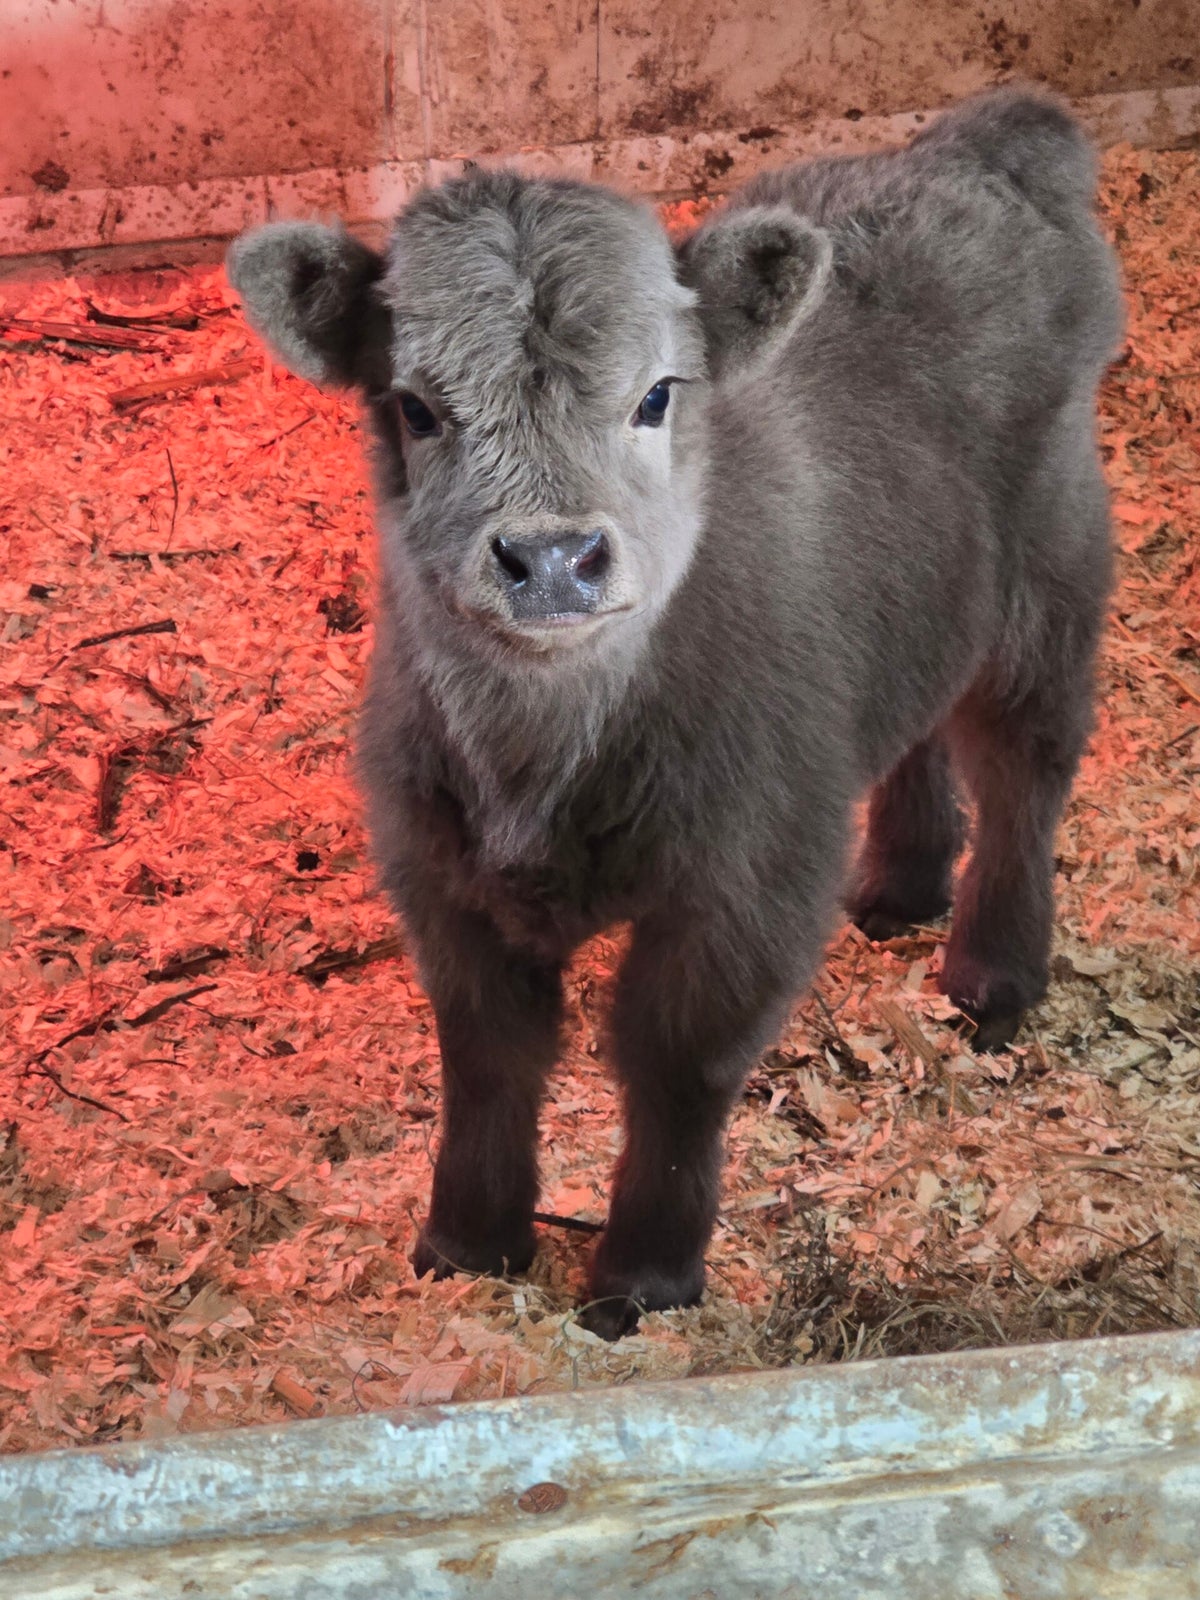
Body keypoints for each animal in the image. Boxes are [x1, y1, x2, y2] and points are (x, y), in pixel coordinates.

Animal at [228, 88, 1122, 1338]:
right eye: (413, 406)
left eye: (657, 394)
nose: (554, 558)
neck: (545, 759)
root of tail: (980, 142)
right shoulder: (436, 872)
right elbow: (488, 1057)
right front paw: (468, 1239)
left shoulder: (748, 887)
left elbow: (676, 1065)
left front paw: (643, 1275)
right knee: (916, 733)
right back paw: (902, 884)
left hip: (1047, 576)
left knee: (1023, 776)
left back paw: (993, 972)